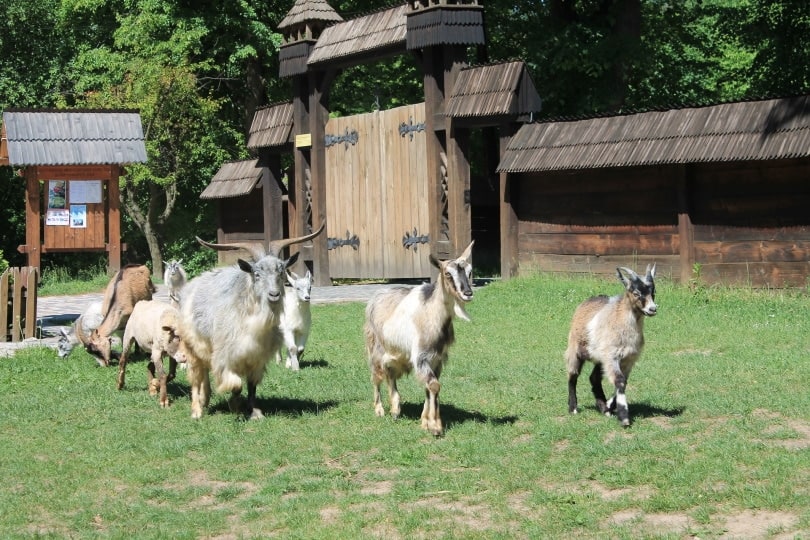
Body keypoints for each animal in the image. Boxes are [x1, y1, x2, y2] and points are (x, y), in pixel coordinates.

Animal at [179, 224, 325, 419]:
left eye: (280, 272)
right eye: (257, 274)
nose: (274, 294)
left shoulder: (257, 359)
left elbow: (252, 386)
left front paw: (255, 412)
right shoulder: (226, 356)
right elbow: (236, 384)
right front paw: (235, 405)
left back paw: (206, 400)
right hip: (192, 347)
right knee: (196, 377)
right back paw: (197, 410)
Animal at [364, 241, 474, 436]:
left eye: (470, 271)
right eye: (447, 273)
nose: (468, 293)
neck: (432, 314)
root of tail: (376, 296)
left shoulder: (437, 359)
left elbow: (430, 387)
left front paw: (425, 422)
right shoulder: (421, 357)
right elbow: (434, 385)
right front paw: (436, 426)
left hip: (395, 353)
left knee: (389, 373)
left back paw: (395, 409)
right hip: (375, 347)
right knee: (376, 376)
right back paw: (380, 410)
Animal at [565, 264, 657, 427]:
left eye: (654, 292)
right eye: (636, 293)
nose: (652, 309)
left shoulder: (628, 359)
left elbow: (623, 381)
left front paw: (610, 406)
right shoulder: (611, 357)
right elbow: (620, 380)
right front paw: (624, 418)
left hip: (599, 357)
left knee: (594, 378)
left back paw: (603, 407)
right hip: (575, 348)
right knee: (572, 374)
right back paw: (573, 408)